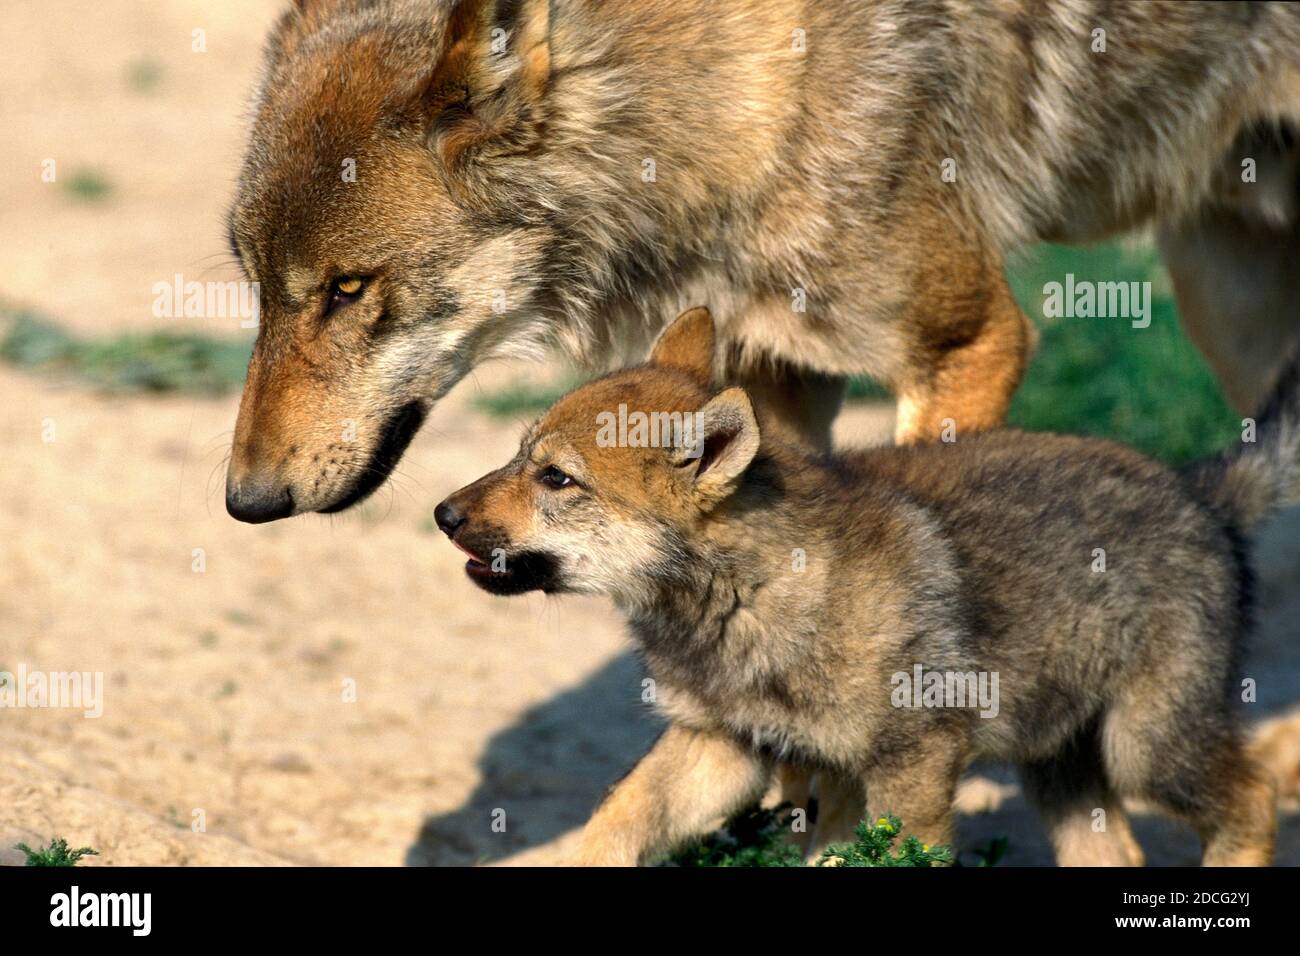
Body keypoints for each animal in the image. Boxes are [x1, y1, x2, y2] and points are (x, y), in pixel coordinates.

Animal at [224, 0, 1300, 522]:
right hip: (1228, 310)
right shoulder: (772, 378)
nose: (245, 502)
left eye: (349, 290)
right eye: (256, 286)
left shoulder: (971, 341)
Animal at [434, 307, 1300, 865]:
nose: (442, 514)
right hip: (1059, 763)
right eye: (519, 456)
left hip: (1146, 749)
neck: (749, 596)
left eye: (556, 478)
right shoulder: (724, 747)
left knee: (1254, 800)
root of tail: (1202, 493)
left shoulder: (912, 764)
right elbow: (615, 821)